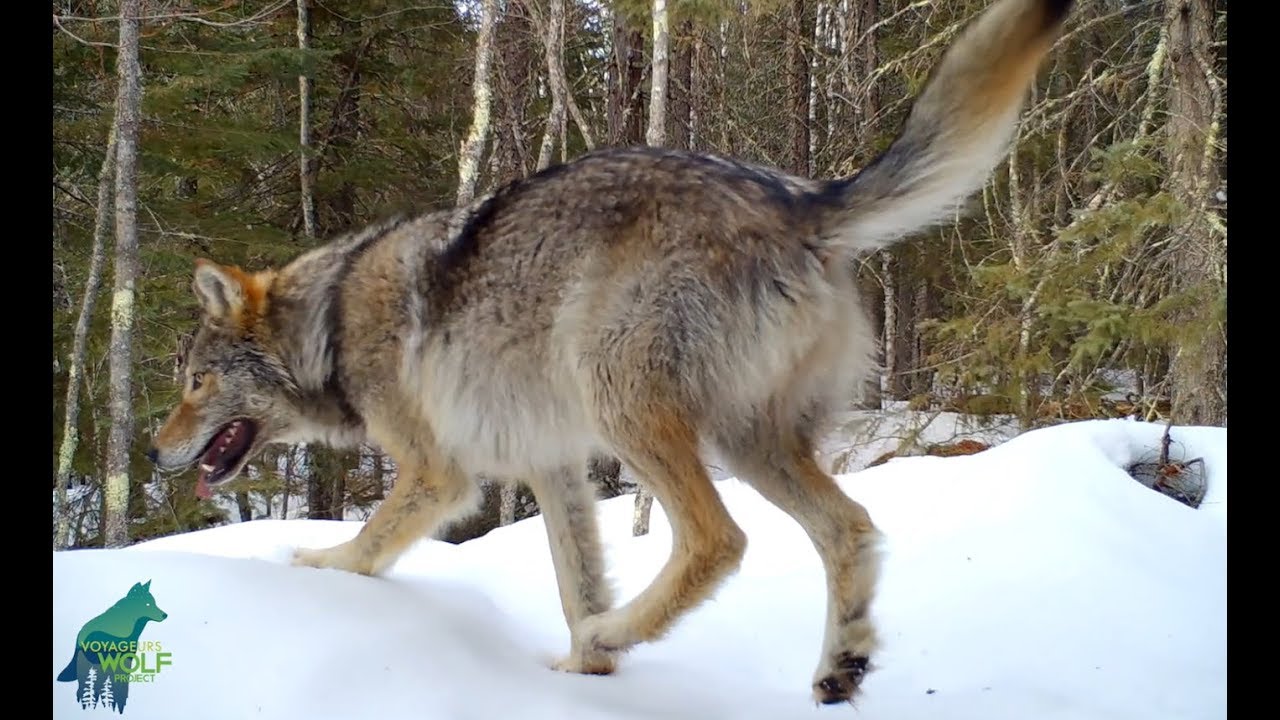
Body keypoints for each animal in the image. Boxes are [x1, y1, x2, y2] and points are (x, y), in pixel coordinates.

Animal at [148, 0, 1073, 703]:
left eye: (194, 381)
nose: (153, 453)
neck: (332, 320)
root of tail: (802, 203)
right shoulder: (553, 469)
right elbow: (573, 577)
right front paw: (579, 674)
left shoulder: (439, 474)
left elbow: (365, 548)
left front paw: (309, 566)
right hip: (749, 441)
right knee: (849, 528)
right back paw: (832, 668)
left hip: (629, 407)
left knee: (718, 540)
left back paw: (627, 628)